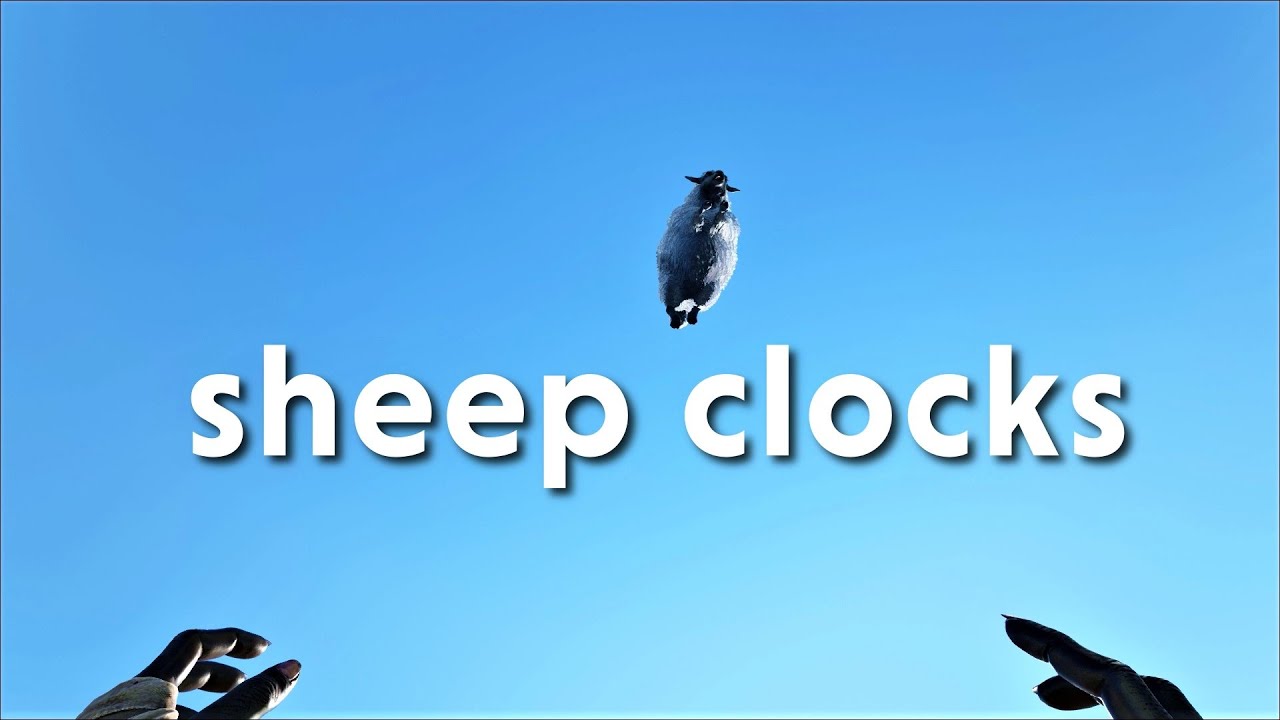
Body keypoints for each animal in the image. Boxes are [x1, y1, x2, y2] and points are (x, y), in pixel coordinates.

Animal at [656, 170, 741, 329]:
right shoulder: (688, 220)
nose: (720, 173)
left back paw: (691, 319)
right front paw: (704, 209)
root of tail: (688, 296)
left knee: (695, 308)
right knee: (670, 309)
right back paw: (676, 321)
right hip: (671, 287)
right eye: (708, 173)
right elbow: (697, 218)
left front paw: (722, 209)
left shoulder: (724, 226)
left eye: (726, 179)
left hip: (709, 291)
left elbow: (718, 221)